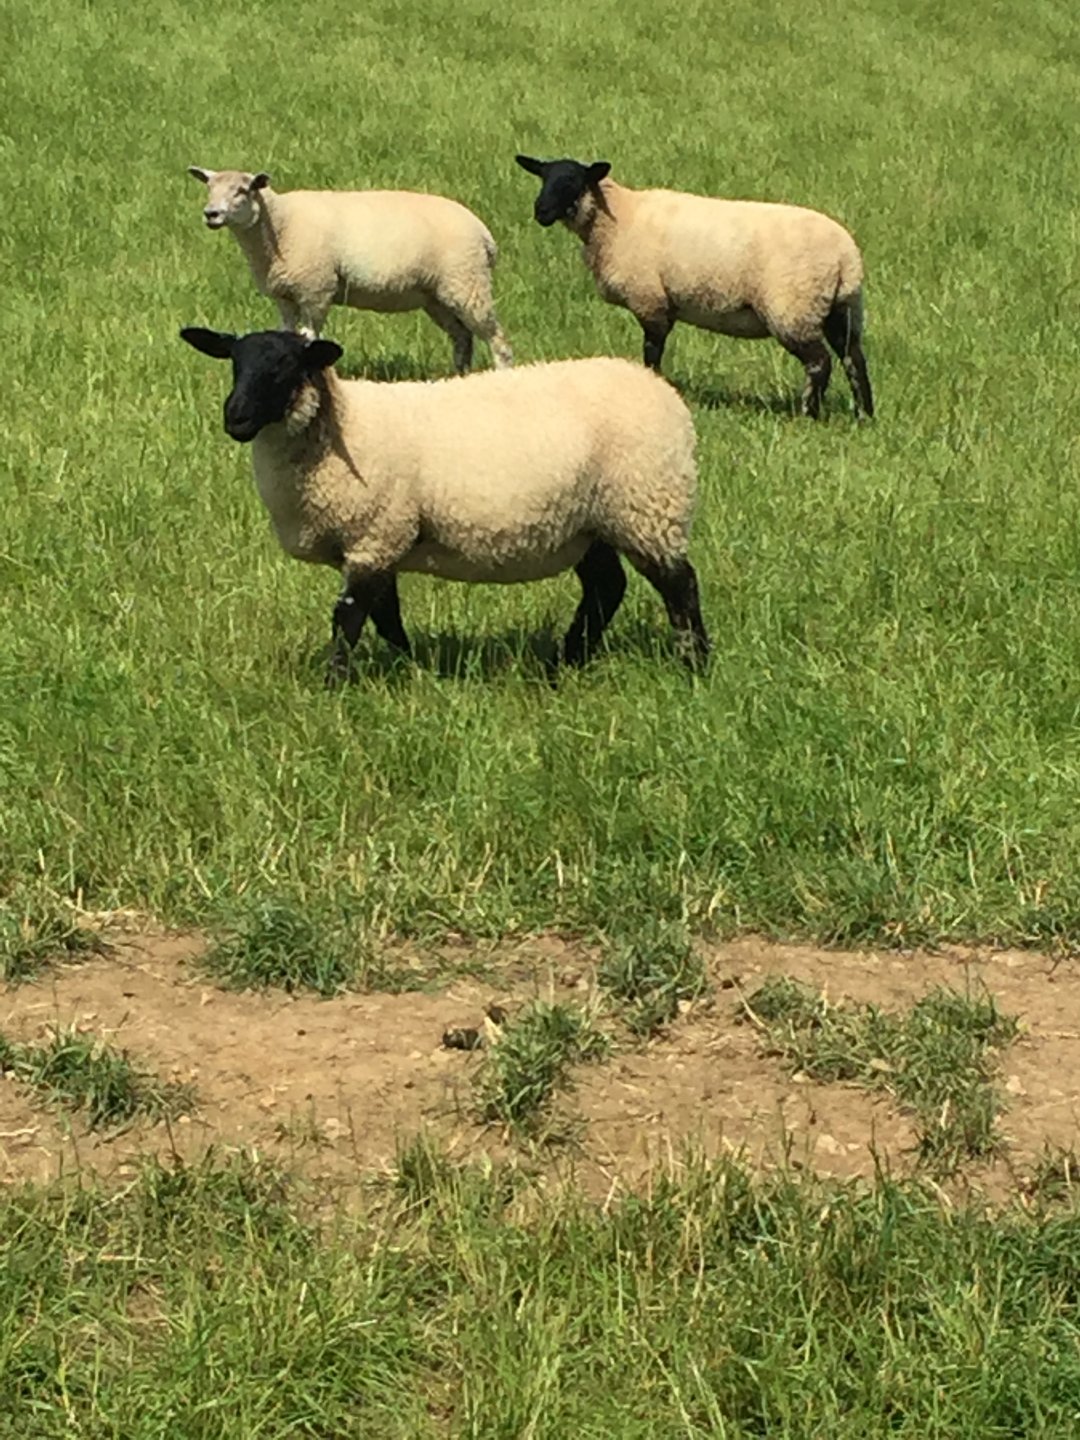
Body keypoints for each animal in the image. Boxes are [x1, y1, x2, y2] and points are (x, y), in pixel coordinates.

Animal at [178, 326, 710, 683]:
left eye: (286, 366)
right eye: (235, 362)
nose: (235, 417)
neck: (341, 425)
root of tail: (663, 393)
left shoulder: (375, 534)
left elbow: (349, 618)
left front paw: (336, 684)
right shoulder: (378, 542)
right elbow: (386, 617)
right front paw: (412, 665)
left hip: (647, 506)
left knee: (679, 585)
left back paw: (696, 664)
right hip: (590, 522)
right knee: (607, 588)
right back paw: (563, 663)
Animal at [187, 167, 514, 374]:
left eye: (242, 191)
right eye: (209, 188)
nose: (211, 214)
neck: (278, 223)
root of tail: (484, 234)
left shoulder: (316, 289)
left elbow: (310, 337)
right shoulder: (286, 296)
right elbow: (287, 333)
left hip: (467, 281)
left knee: (496, 339)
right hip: (437, 295)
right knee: (463, 337)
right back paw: (459, 375)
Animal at [514, 155, 874, 420]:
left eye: (572, 182)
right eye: (544, 178)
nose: (540, 211)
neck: (617, 218)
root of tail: (846, 257)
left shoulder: (651, 300)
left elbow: (652, 353)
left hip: (793, 308)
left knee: (820, 362)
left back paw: (808, 414)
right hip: (840, 308)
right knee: (854, 358)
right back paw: (864, 416)